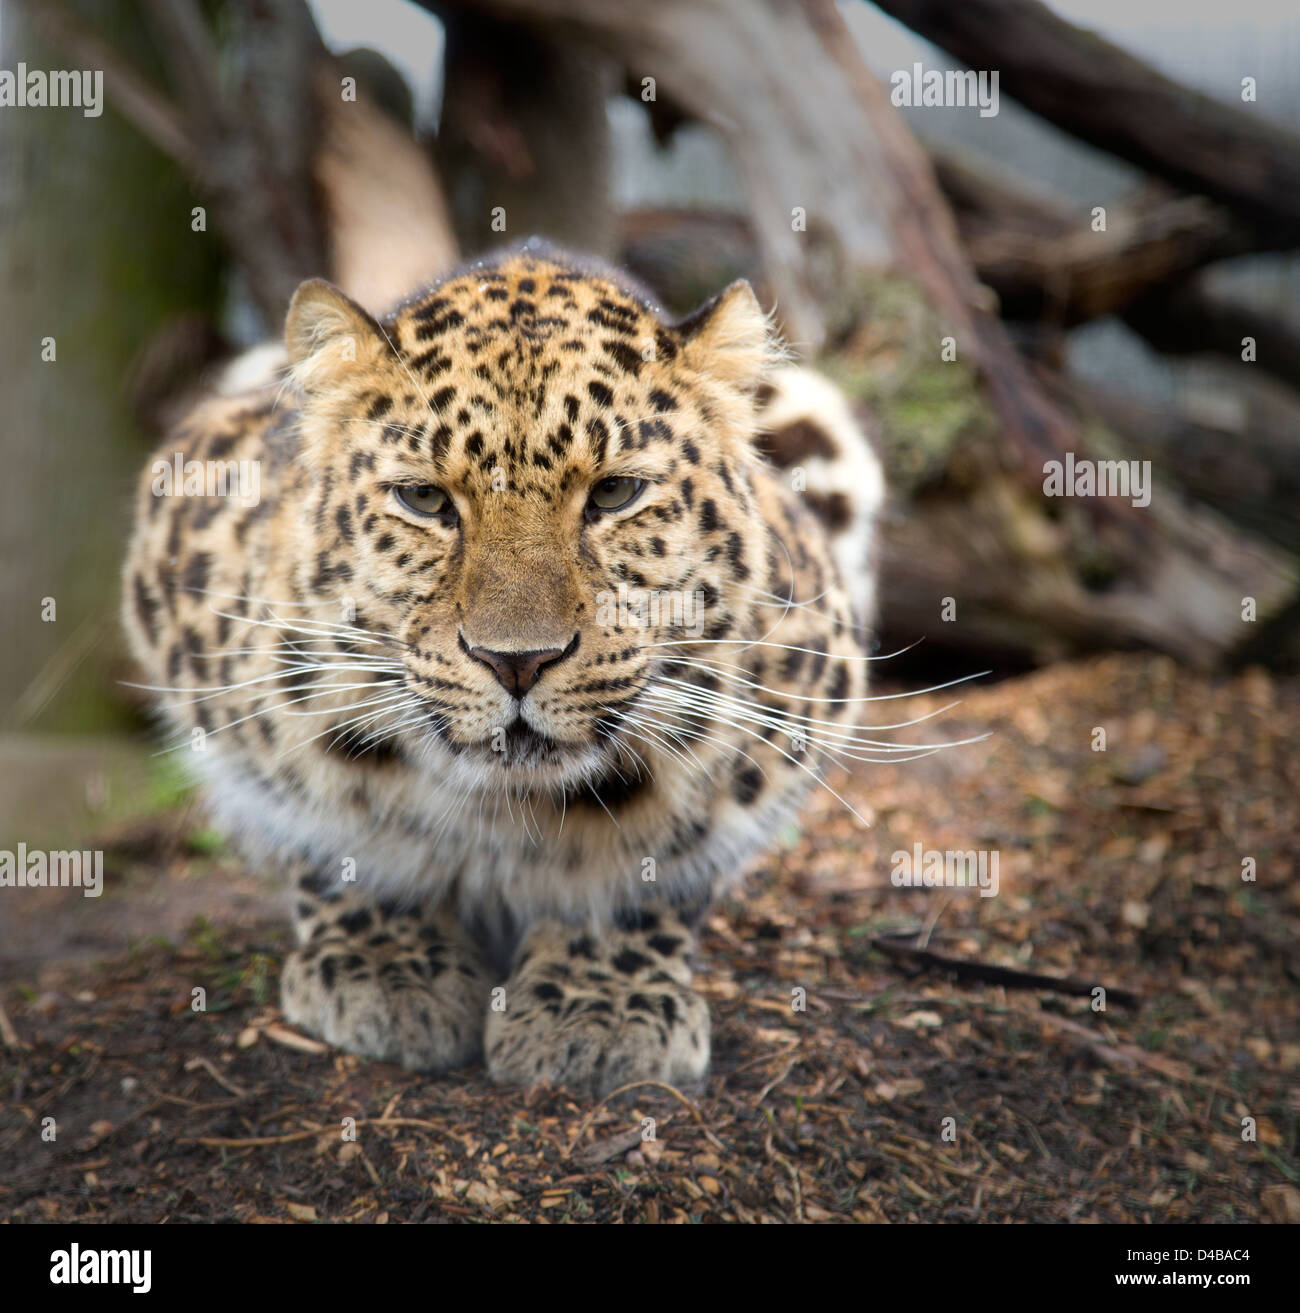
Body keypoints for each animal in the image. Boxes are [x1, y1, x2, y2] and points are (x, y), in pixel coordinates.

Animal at [121, 243, 885, 1096]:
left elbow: (654, 861)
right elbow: (322, 827)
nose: (516, 661)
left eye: (616, 491)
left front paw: (597, 998)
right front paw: (387, 956)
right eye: (424, 499)